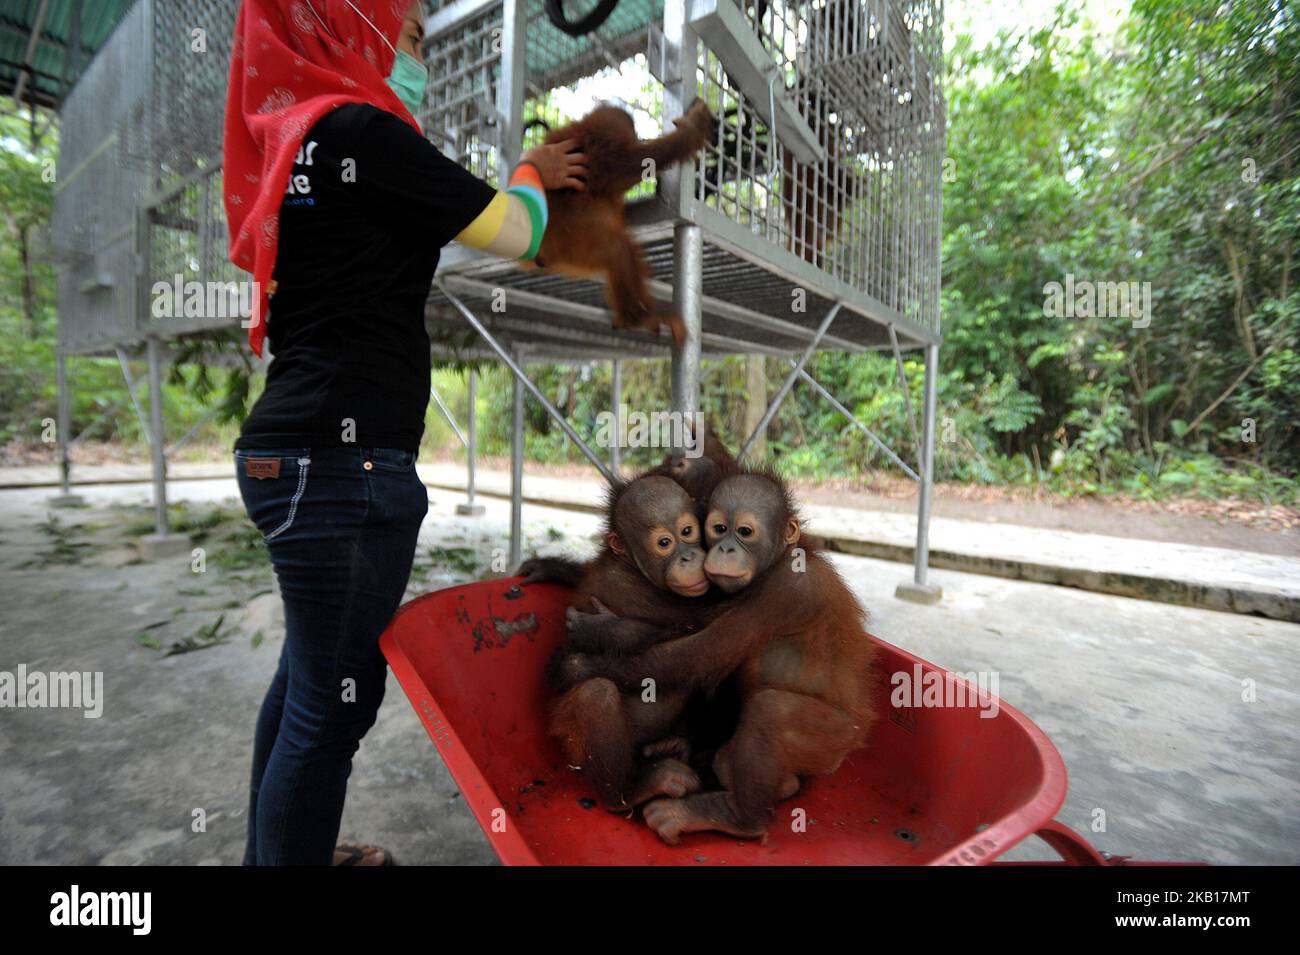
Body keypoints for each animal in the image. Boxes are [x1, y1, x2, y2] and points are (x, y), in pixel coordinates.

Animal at [527, 99, 716, 348]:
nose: (636, 138)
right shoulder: (607, 129)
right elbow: (622, 164)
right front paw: (694, 129)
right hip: (569, 243)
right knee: (616, 248)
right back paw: (637, 318)